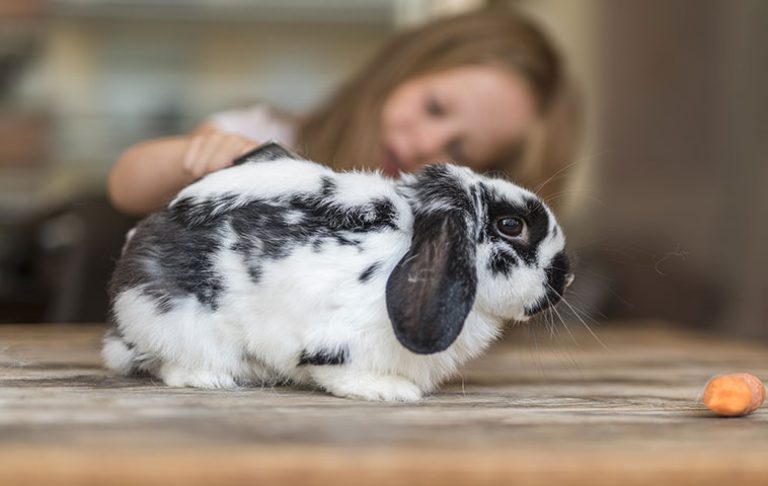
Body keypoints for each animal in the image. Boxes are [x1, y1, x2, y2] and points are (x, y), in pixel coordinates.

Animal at [103, 142, 572, 401]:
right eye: (510, 225)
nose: (565, 276)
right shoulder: (337, 341)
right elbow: (340, 371)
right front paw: (389, 391)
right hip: (179, 324)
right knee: (170, 363)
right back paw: (212, 379)